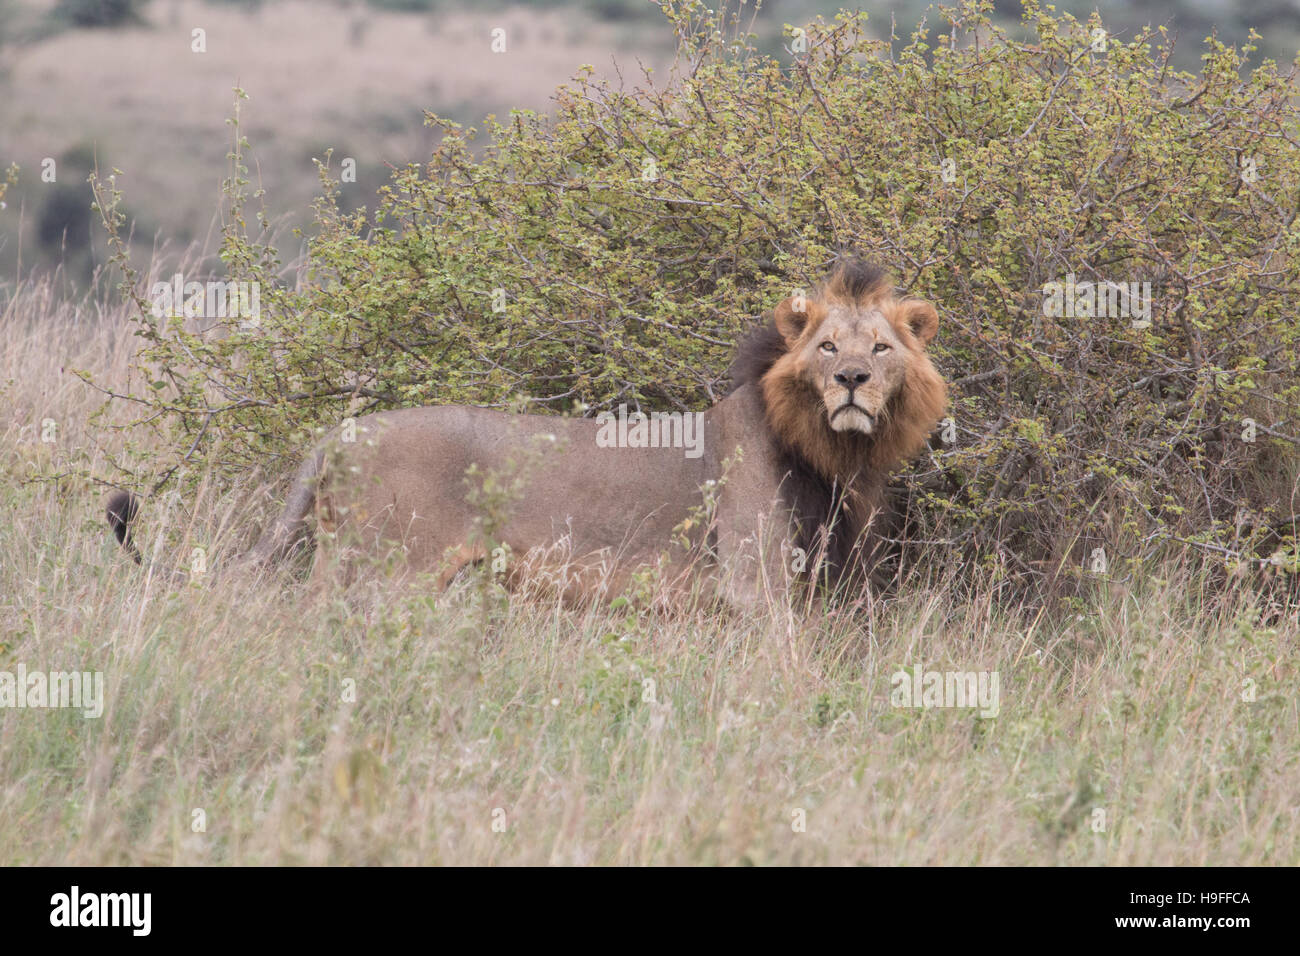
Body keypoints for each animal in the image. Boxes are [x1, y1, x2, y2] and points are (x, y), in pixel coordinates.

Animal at [107, 258, 948, 606]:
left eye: (881, 348)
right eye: (828, 348)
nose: (852, 381)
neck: (835, 451)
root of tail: (337, 435)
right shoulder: (756, 589)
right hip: (382, 571)